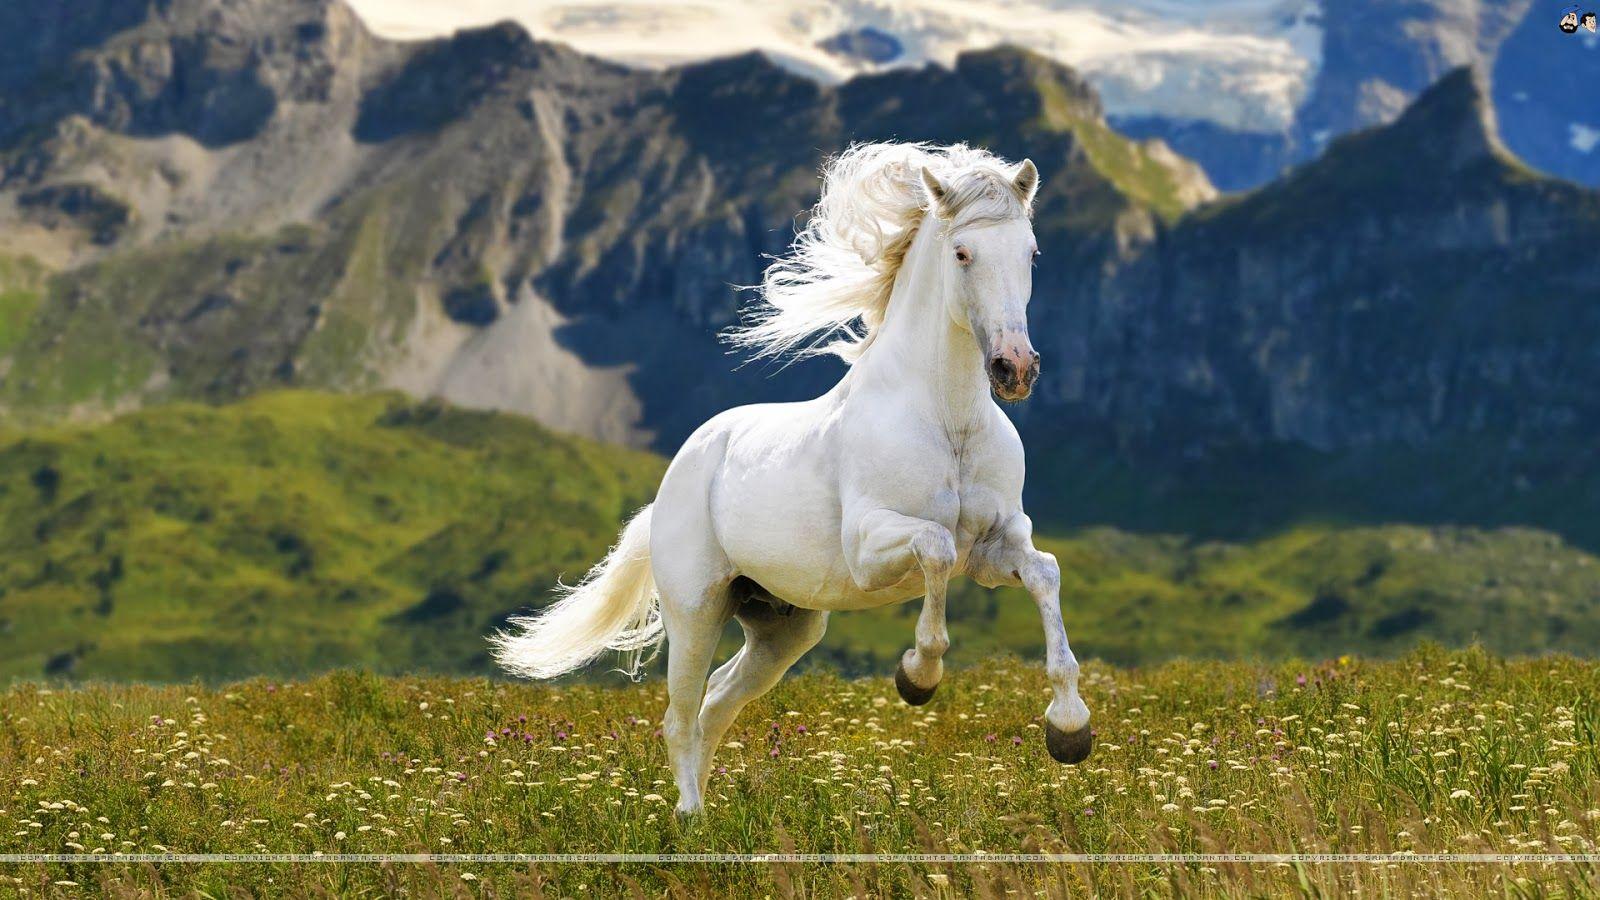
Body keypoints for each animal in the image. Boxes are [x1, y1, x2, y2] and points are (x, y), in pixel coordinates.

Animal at [492, 142, 1093, 816]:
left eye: (1031, 252)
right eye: (963, 252)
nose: (1015, 368)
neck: (948, 421)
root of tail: (674, 479)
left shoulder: (994, 547)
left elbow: (1045, 573)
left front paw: (1070, 731)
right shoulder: (870, 547)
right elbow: (935, 547)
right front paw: (918, 676)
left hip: (783, 626)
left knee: (717, 701)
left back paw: (709, 816)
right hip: (695, 610)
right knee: (680, 715)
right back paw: (689, 818)